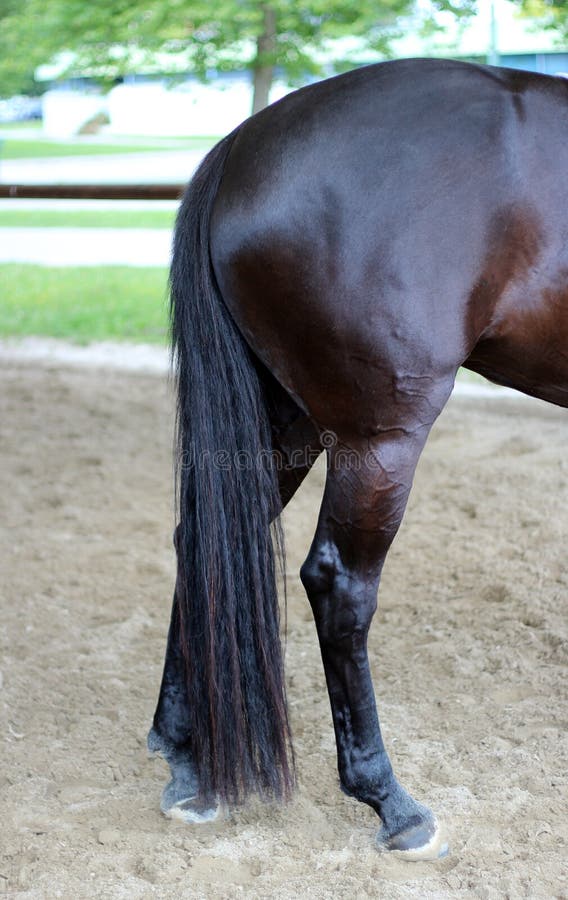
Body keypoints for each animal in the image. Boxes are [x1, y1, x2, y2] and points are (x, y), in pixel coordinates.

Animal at [146, 57, 568, 860]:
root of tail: (243, 147)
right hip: (380, 442)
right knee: (339, 585)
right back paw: (391, 802)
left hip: (288, 422)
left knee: (205, 542)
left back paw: (182, 758)